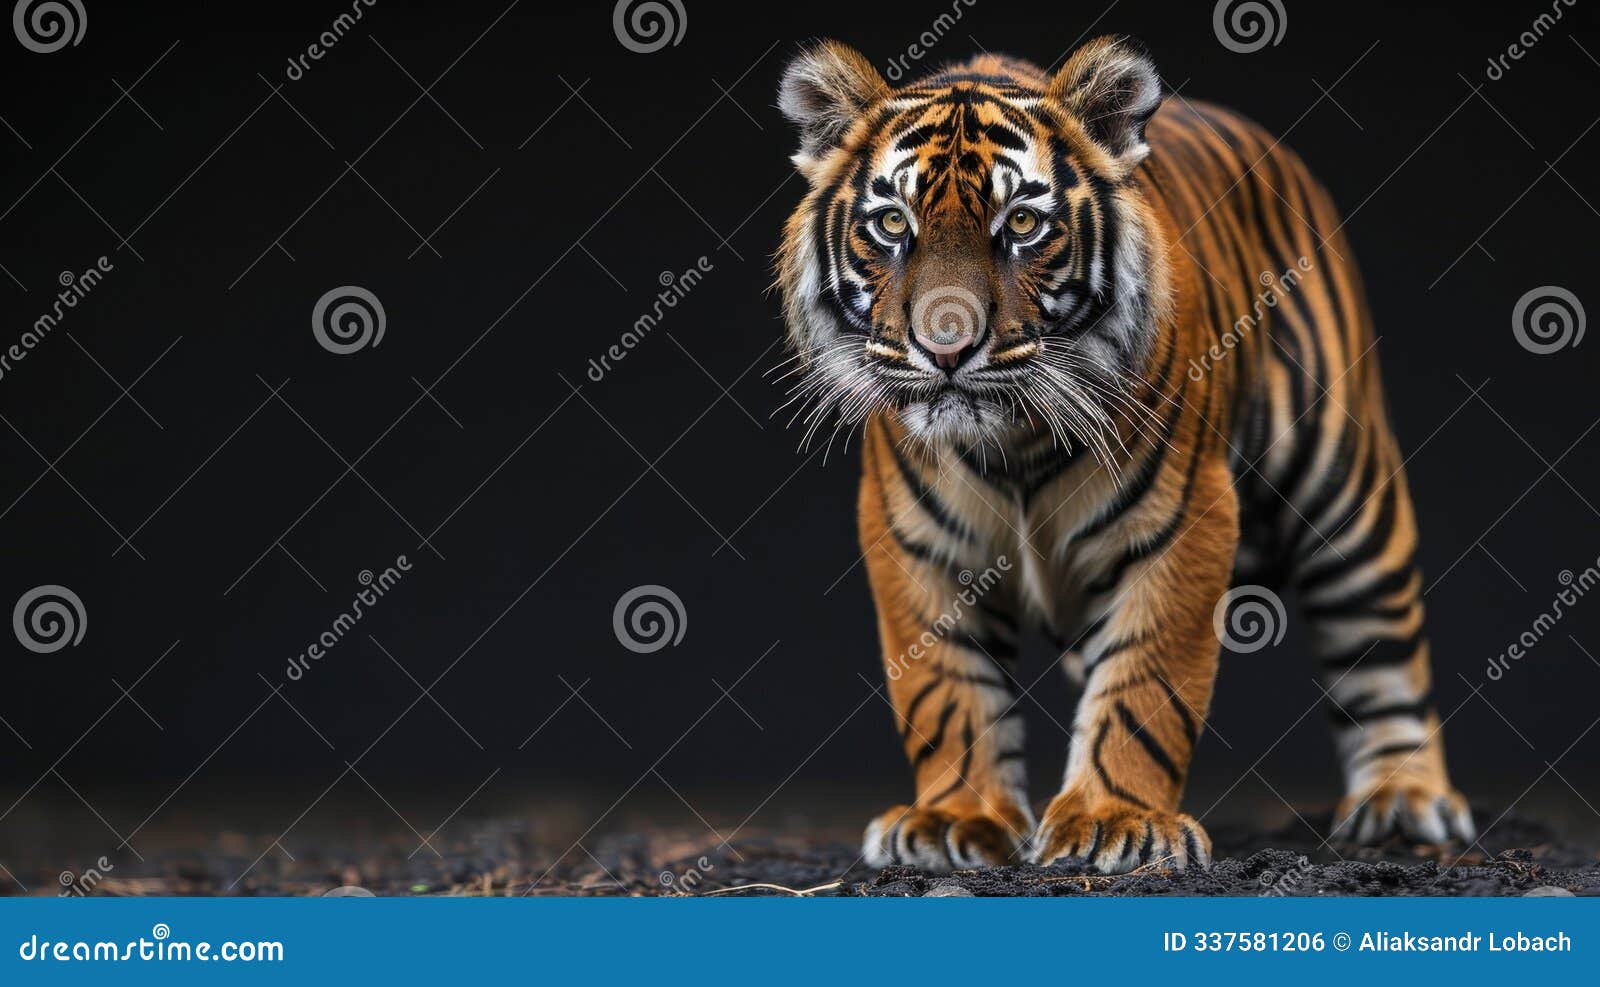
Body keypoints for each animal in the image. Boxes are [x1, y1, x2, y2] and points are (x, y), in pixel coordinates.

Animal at [773, 36, 1475, 873]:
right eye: (890, 222)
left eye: (1021, 222)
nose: (945, 348)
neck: (1015, 442)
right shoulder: (916, 543)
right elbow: (948, 692)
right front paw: (956, 819)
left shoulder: (1184, 521)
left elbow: (1145, 685)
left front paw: (1113, 819)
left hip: (1347, 486)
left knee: (1382, 641)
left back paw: (1404, 801)